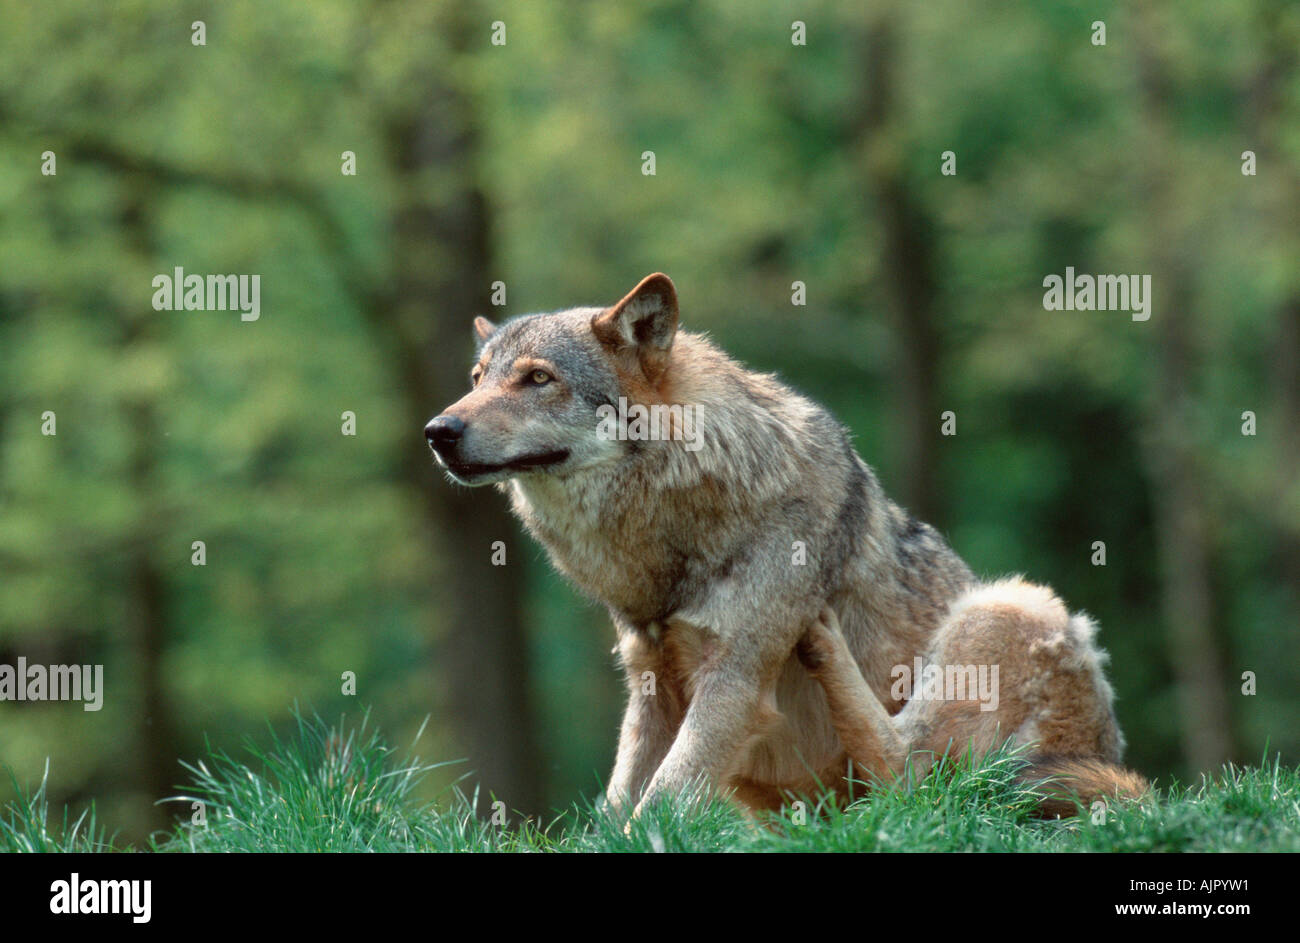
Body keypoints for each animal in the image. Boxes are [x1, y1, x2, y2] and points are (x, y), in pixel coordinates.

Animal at [425, 273, 1147, 818]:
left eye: (537, 378)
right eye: (477, 376)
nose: (438, 430)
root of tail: (1110, 754)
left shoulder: (735, 679)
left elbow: (660, 801)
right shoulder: (650, 684)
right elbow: (618, 801)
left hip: (1007, 604)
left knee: (921, 781)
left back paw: (827, 642)